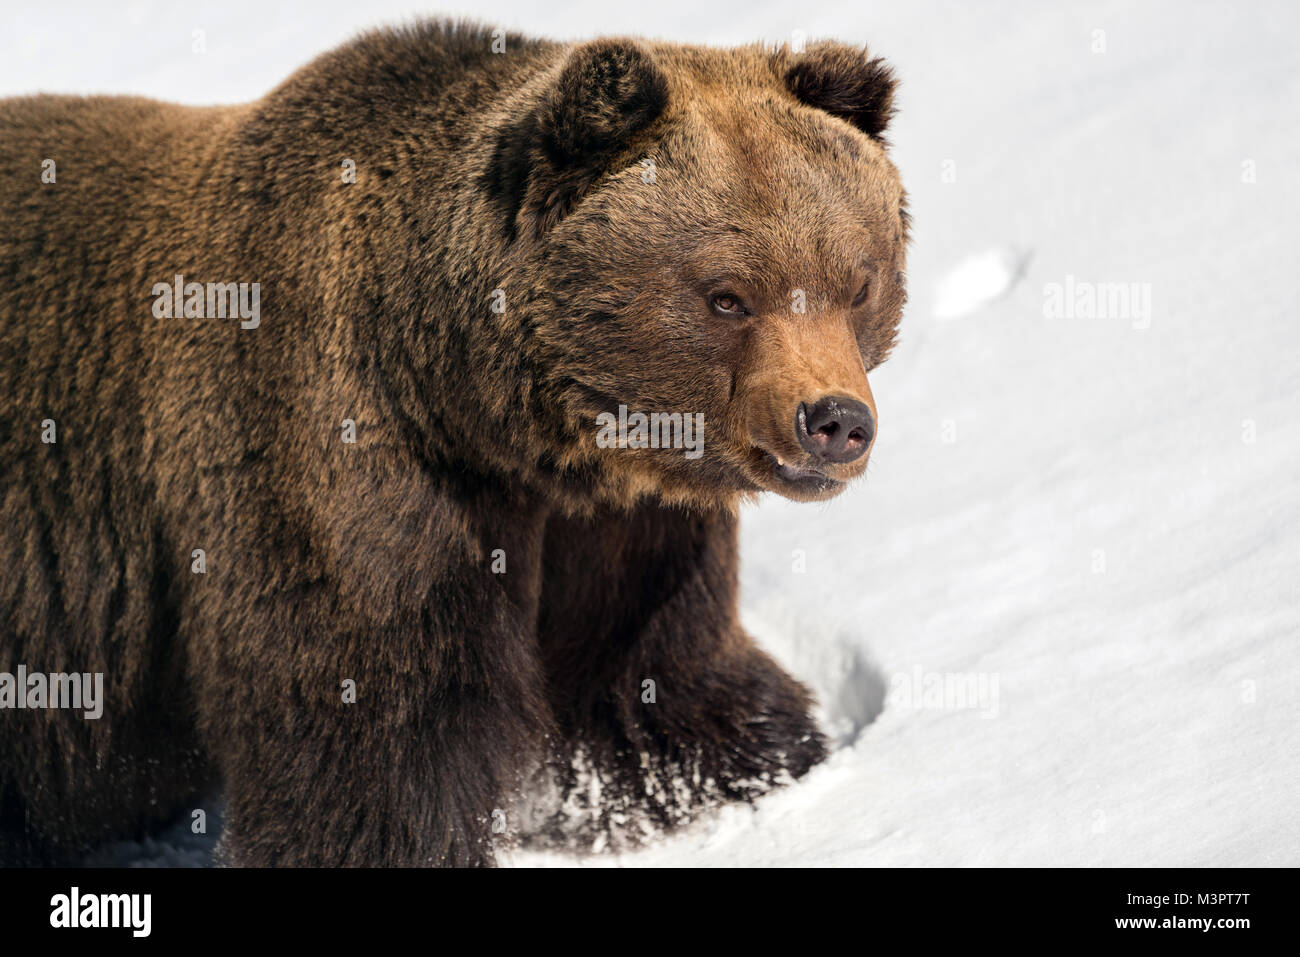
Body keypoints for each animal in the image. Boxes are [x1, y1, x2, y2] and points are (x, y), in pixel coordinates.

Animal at [0, 19, 908, 866]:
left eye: (857, 280)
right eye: (727, 296)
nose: (833, 420)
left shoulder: (624, 524)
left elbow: (649, 675)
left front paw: (735, 772)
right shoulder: (353, 464)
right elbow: (377, 729)